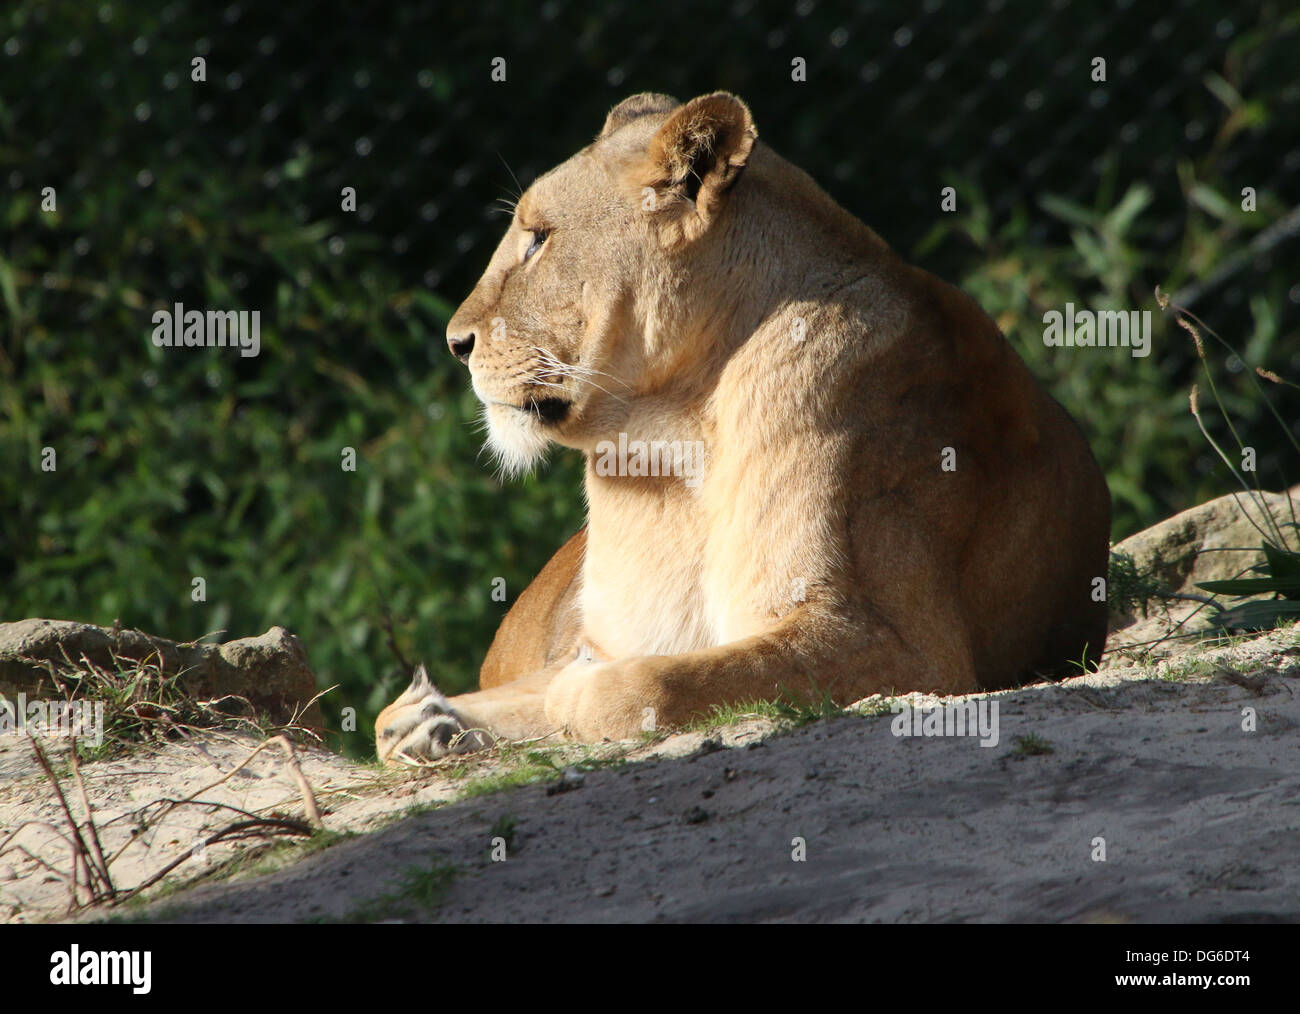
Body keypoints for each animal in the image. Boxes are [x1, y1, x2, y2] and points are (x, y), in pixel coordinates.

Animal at [376, 91, 1111, 764]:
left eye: (538, 238)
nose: (455, 343)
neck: (673, 436)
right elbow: (411, 717)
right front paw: (425, 719)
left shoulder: (909, 647)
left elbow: (644, 685)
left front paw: (566, 697)